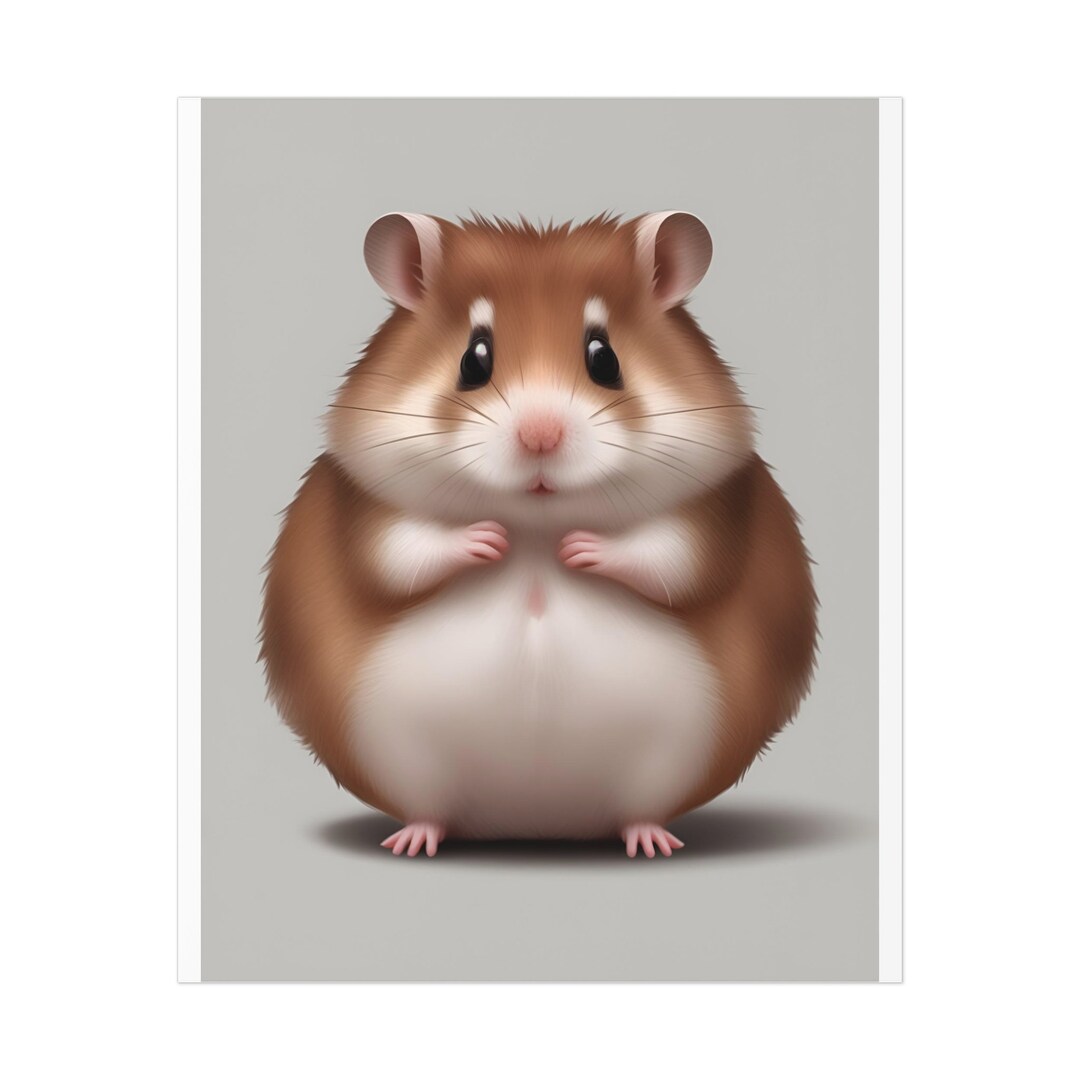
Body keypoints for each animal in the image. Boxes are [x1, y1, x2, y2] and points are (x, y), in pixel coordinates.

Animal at [259, 211, 818, 858]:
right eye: (474, 360)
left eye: (605, 358)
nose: (540, 436)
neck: (536, 521)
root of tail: (534, 821)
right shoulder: (363, 508)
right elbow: (400, 552)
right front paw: (488, 540)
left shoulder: (714, 510)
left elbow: (672, 558)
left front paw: (578, 548)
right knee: (429, 811)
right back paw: (411, 842)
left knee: (641, 812)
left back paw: (651, 843)